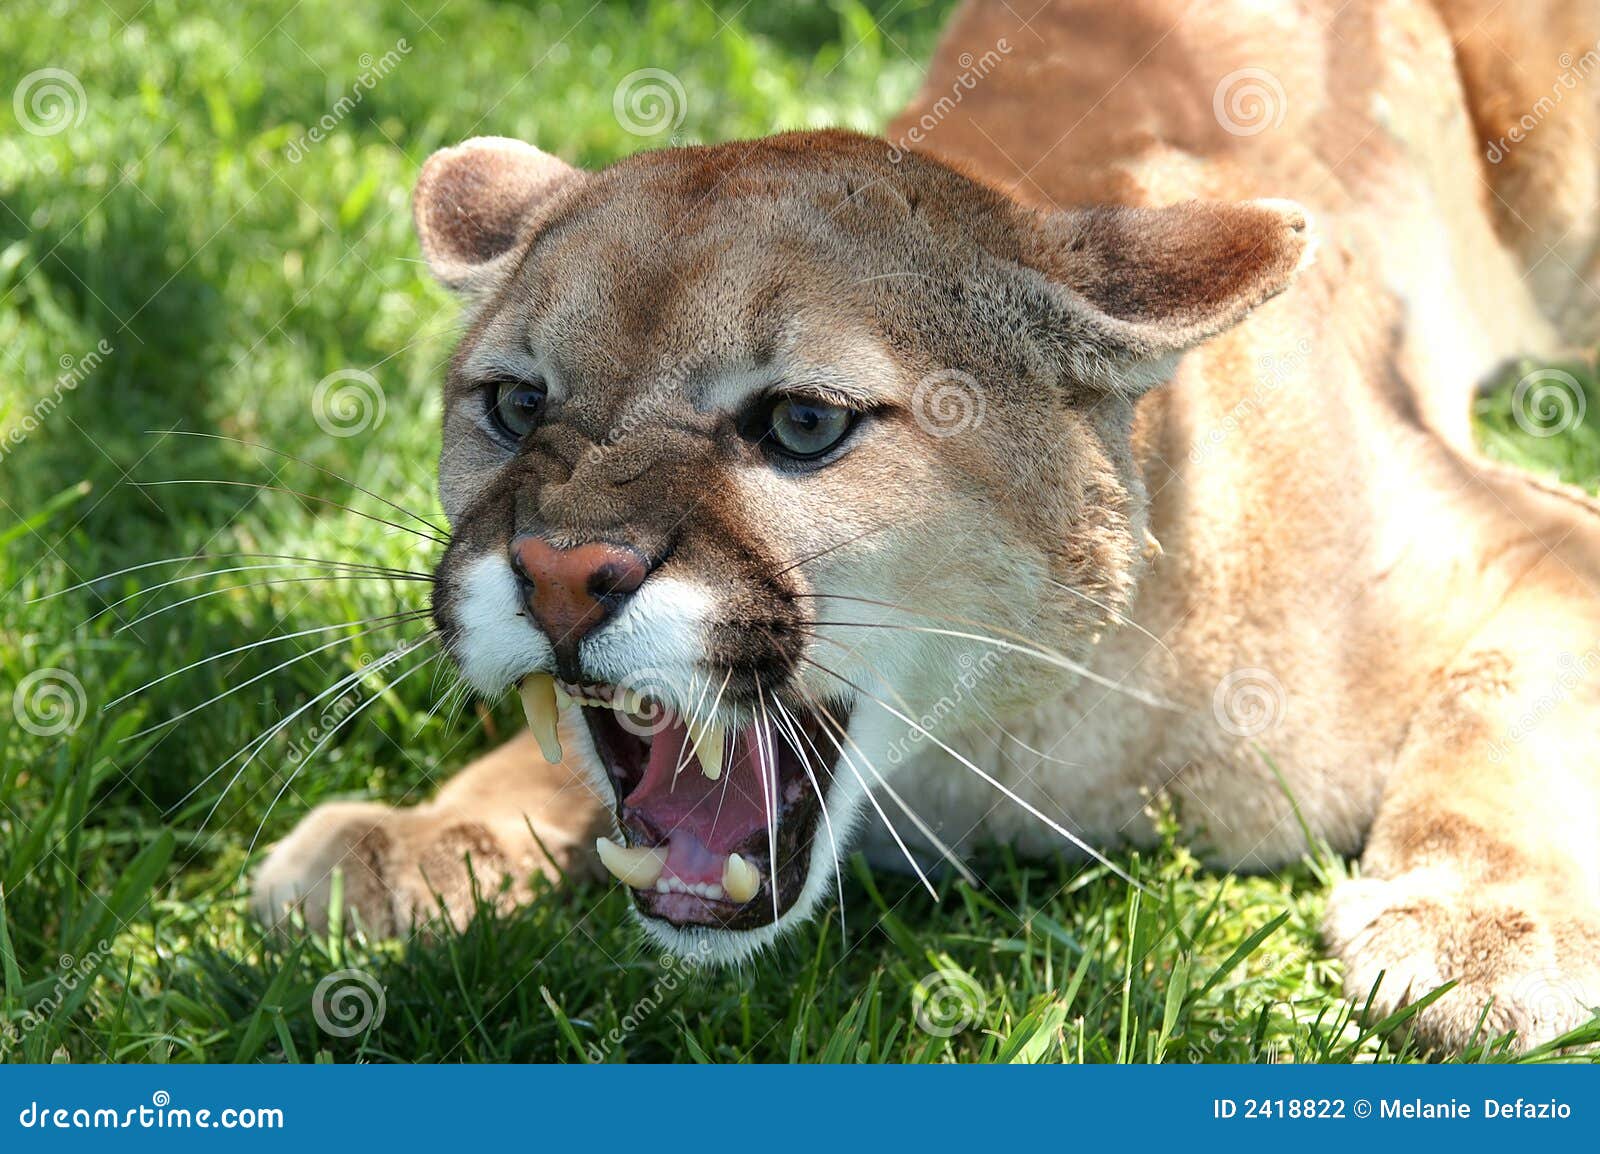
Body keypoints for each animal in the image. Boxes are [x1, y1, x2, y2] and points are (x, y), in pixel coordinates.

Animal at [254, 0, 1600, 1051]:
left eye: (801, 423)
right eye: (517, 402)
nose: (558, 571)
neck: (998, 739)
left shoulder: (1534, 537)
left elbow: (1502, 704)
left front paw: (1481, 928)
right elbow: (568, 747)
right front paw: (425, 831)